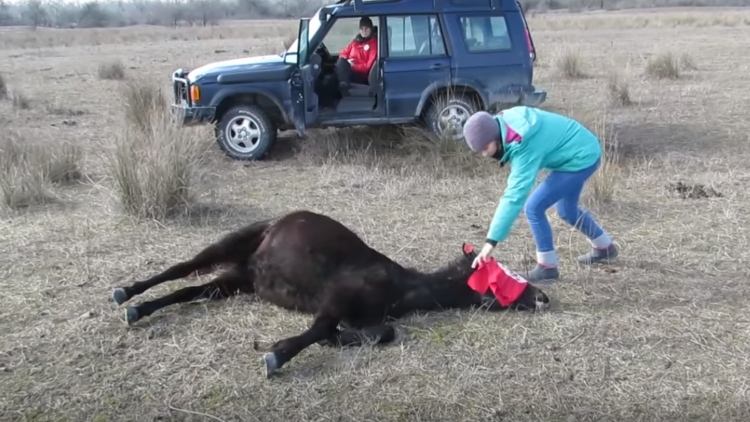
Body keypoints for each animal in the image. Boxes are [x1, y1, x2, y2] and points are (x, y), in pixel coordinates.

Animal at [110, 210, 550, 377]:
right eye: (498, 274)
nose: (542, 297)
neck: (400, 287)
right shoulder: (336, 297)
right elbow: (321, 328)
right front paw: (277, 354)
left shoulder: (365, 315)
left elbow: (381, 332)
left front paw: (342, 339)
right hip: (231, 246)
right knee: (181, 269)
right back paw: (125, 294)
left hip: (239, 279)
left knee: (193, 289)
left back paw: (140, 309)